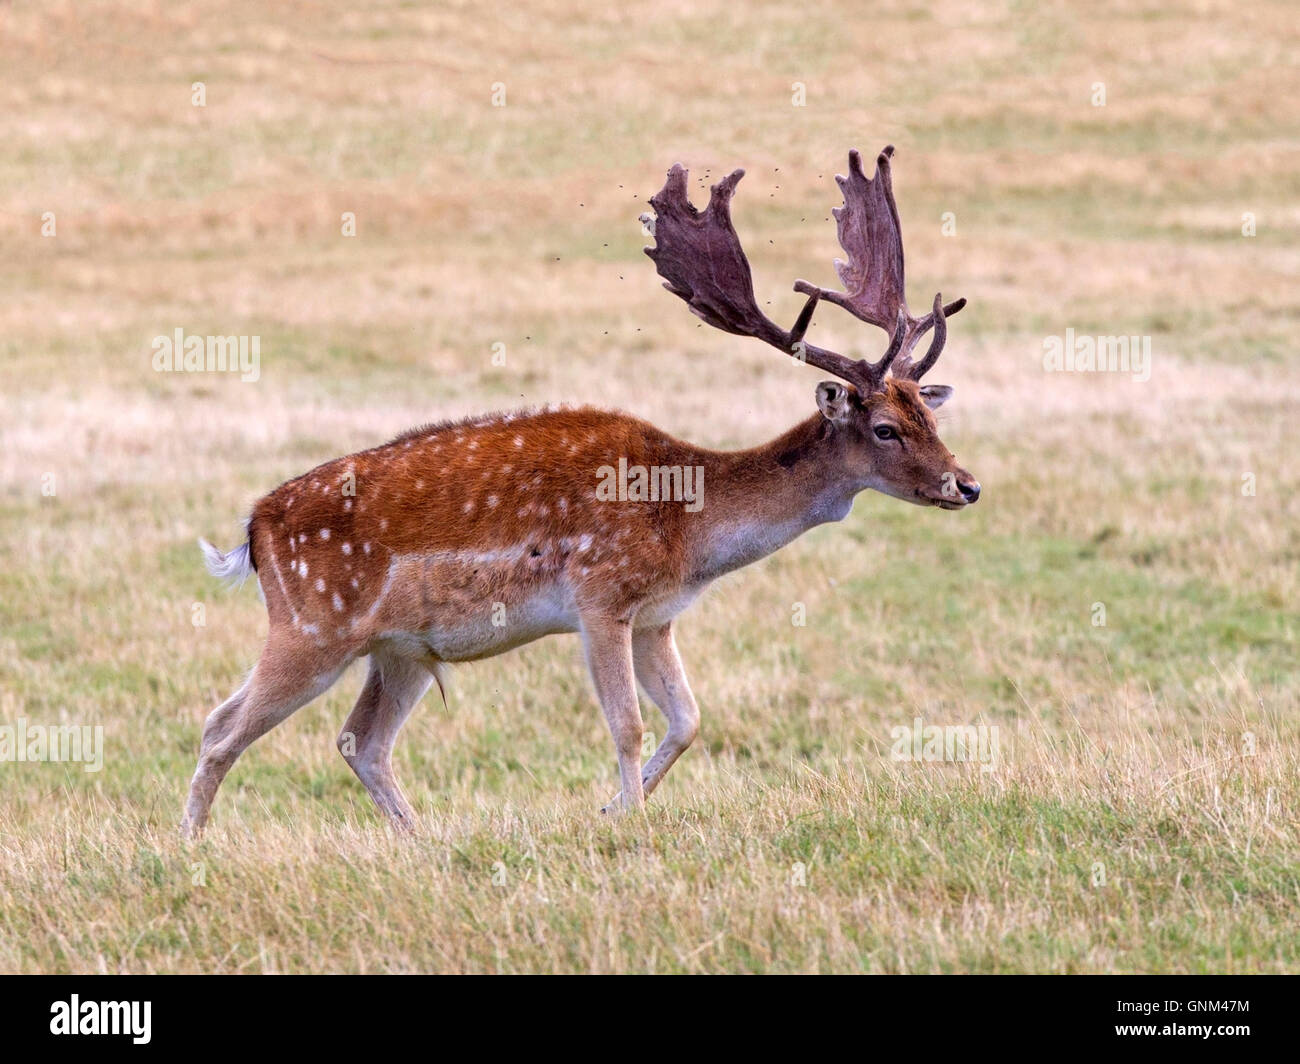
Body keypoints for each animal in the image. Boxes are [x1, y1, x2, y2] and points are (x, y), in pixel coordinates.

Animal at [181, 145, 981, 837]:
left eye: (930, 413)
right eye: (885, 428)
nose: (967, 484)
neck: (689, 529)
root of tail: (253, 530)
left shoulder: (658, 615)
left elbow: (688, 720)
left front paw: (612, 810)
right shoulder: (602, 596)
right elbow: (626, 724)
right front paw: (632, 822)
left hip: (399, 649)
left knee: (356, 740)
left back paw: (419, 839)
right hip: (312, 625)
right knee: (224, 728)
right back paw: (190, 844)